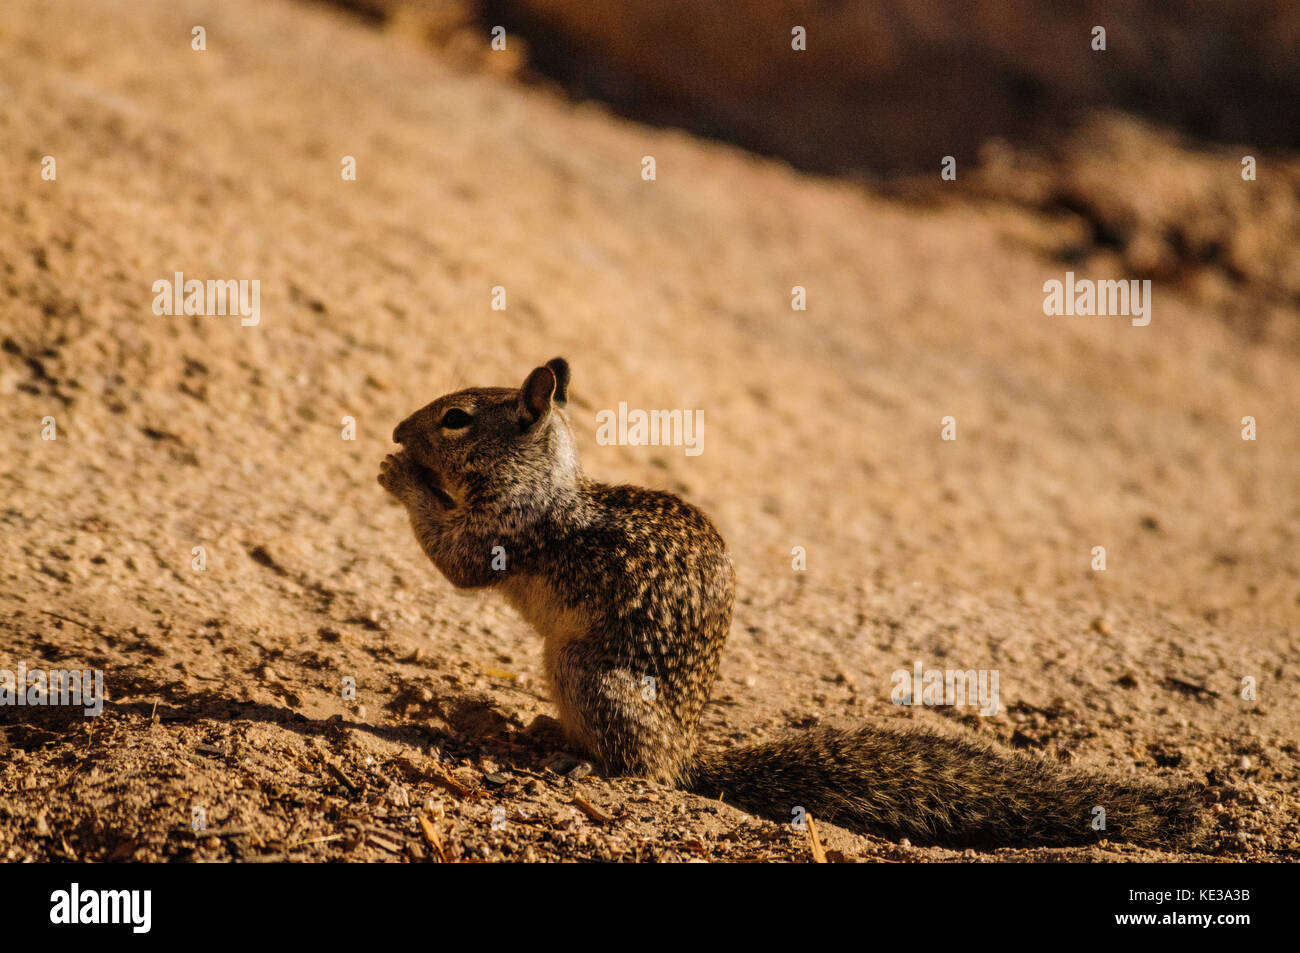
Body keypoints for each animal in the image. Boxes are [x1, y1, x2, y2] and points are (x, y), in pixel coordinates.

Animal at [378, 357, 1205, 849]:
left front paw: (399, 475)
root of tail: (687, 750)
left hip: (586, 668)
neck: (545, 483)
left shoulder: (505, 531)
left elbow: (456, 558)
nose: (394, 427)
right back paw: (543, 728)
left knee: (638, 767)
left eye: (456, 417)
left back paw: (578, 762)